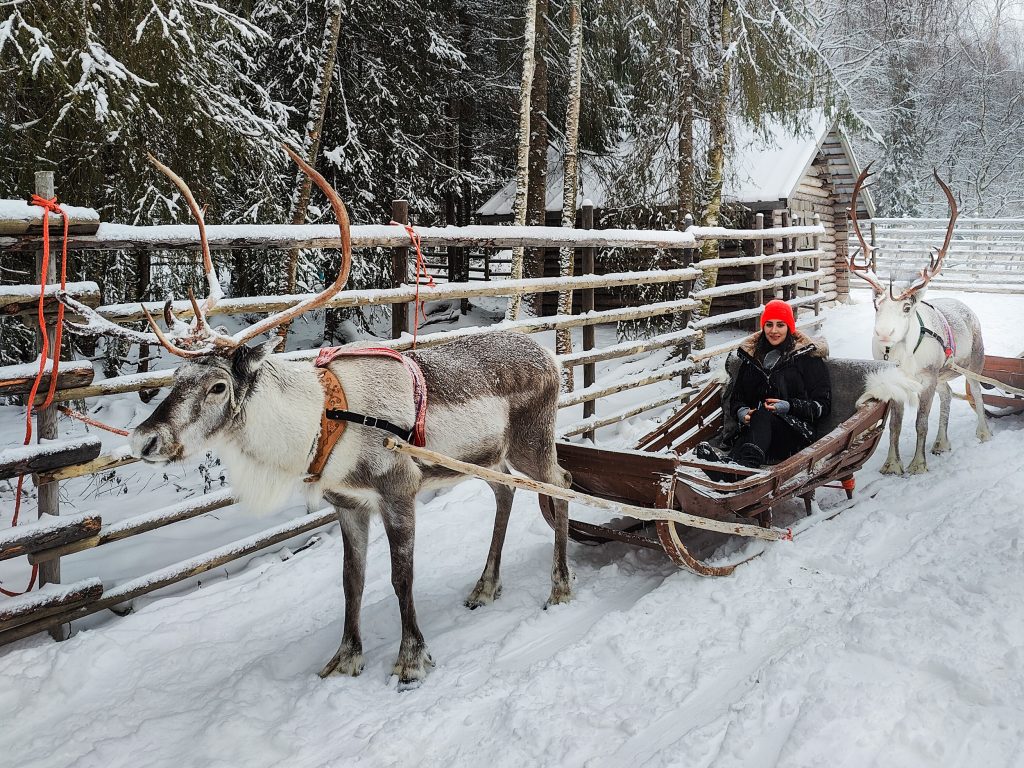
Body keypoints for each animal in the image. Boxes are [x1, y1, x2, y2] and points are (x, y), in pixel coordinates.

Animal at [57, 146, 574, 687]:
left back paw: (559, 585)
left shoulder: (399, 490)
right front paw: (345, 657)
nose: (145, 440)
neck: (322, 424)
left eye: (218, 385)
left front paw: (411, 658)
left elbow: (400, 576)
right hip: (486, 458)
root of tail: (550, 358)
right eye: (176, 375)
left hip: (532, 442)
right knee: (507, 493)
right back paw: (485, 586)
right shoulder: (347, 504)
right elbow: (352, 581)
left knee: (560, 484)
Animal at [847, 164, 991, 475]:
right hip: (944, 374)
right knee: (947, 395)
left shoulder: (927, 379)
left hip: (973, 360)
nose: (883, 333)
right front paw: (892, 464)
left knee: (975, 392)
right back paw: (942, 443)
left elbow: (920, 423)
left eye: (906, 307)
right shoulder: (896, 383)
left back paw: (984, 433)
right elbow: (895, 426)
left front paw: (917, 464)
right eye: (876, 304)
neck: (903, 356)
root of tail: (964, 305)